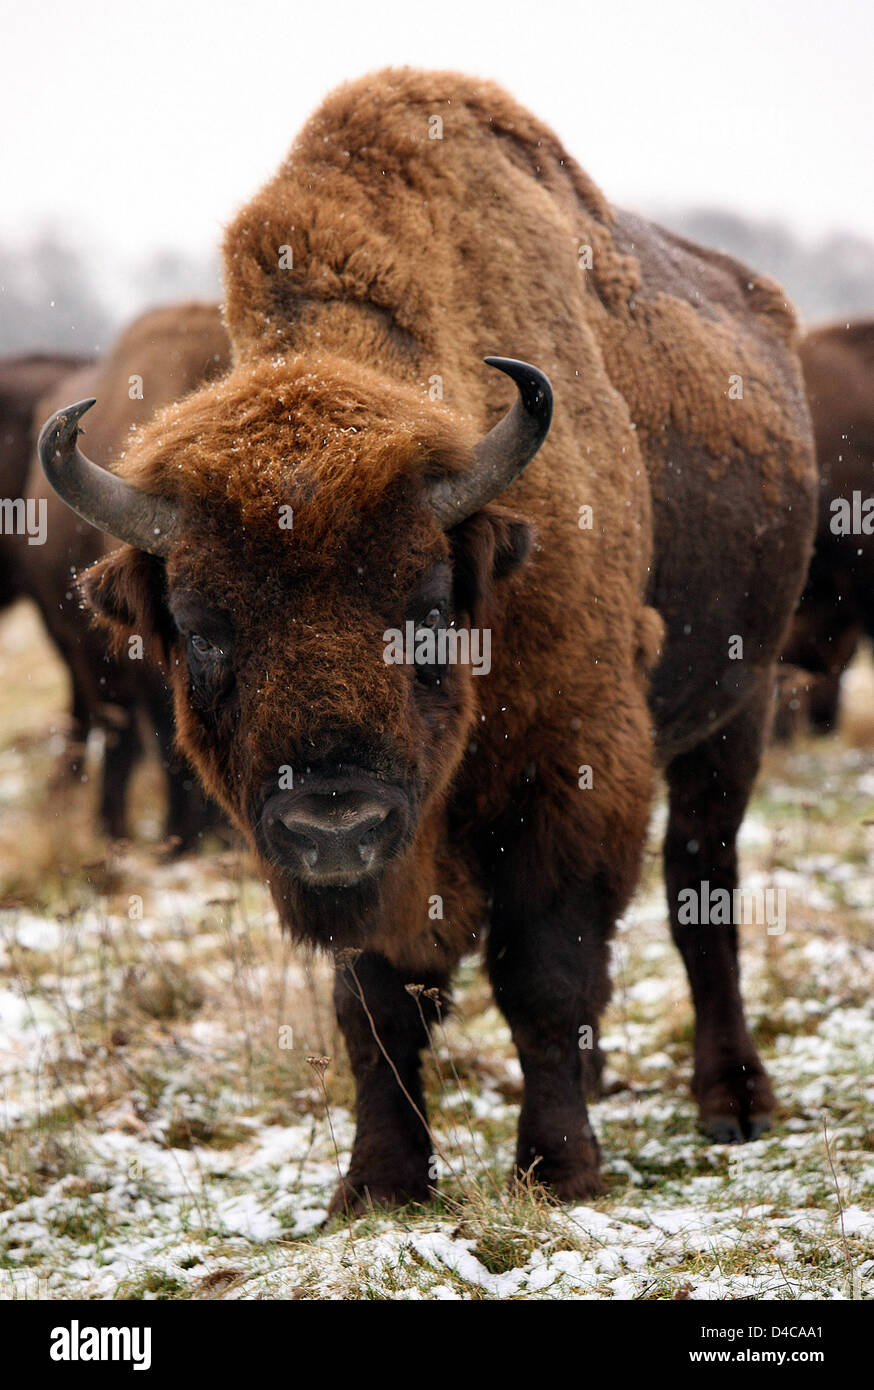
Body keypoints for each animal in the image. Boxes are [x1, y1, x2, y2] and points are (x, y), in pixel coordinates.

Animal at [39, 70, 817, 1210]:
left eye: (428, 601)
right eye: (201, 626)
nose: (336, 825)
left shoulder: (576, 764)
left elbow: (543, 969)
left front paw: (559, 1167)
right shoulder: (374, 863)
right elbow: (375, 1000)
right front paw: (379, 1182)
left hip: (739, 707)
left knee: (698, 898)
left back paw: (733, 1102)